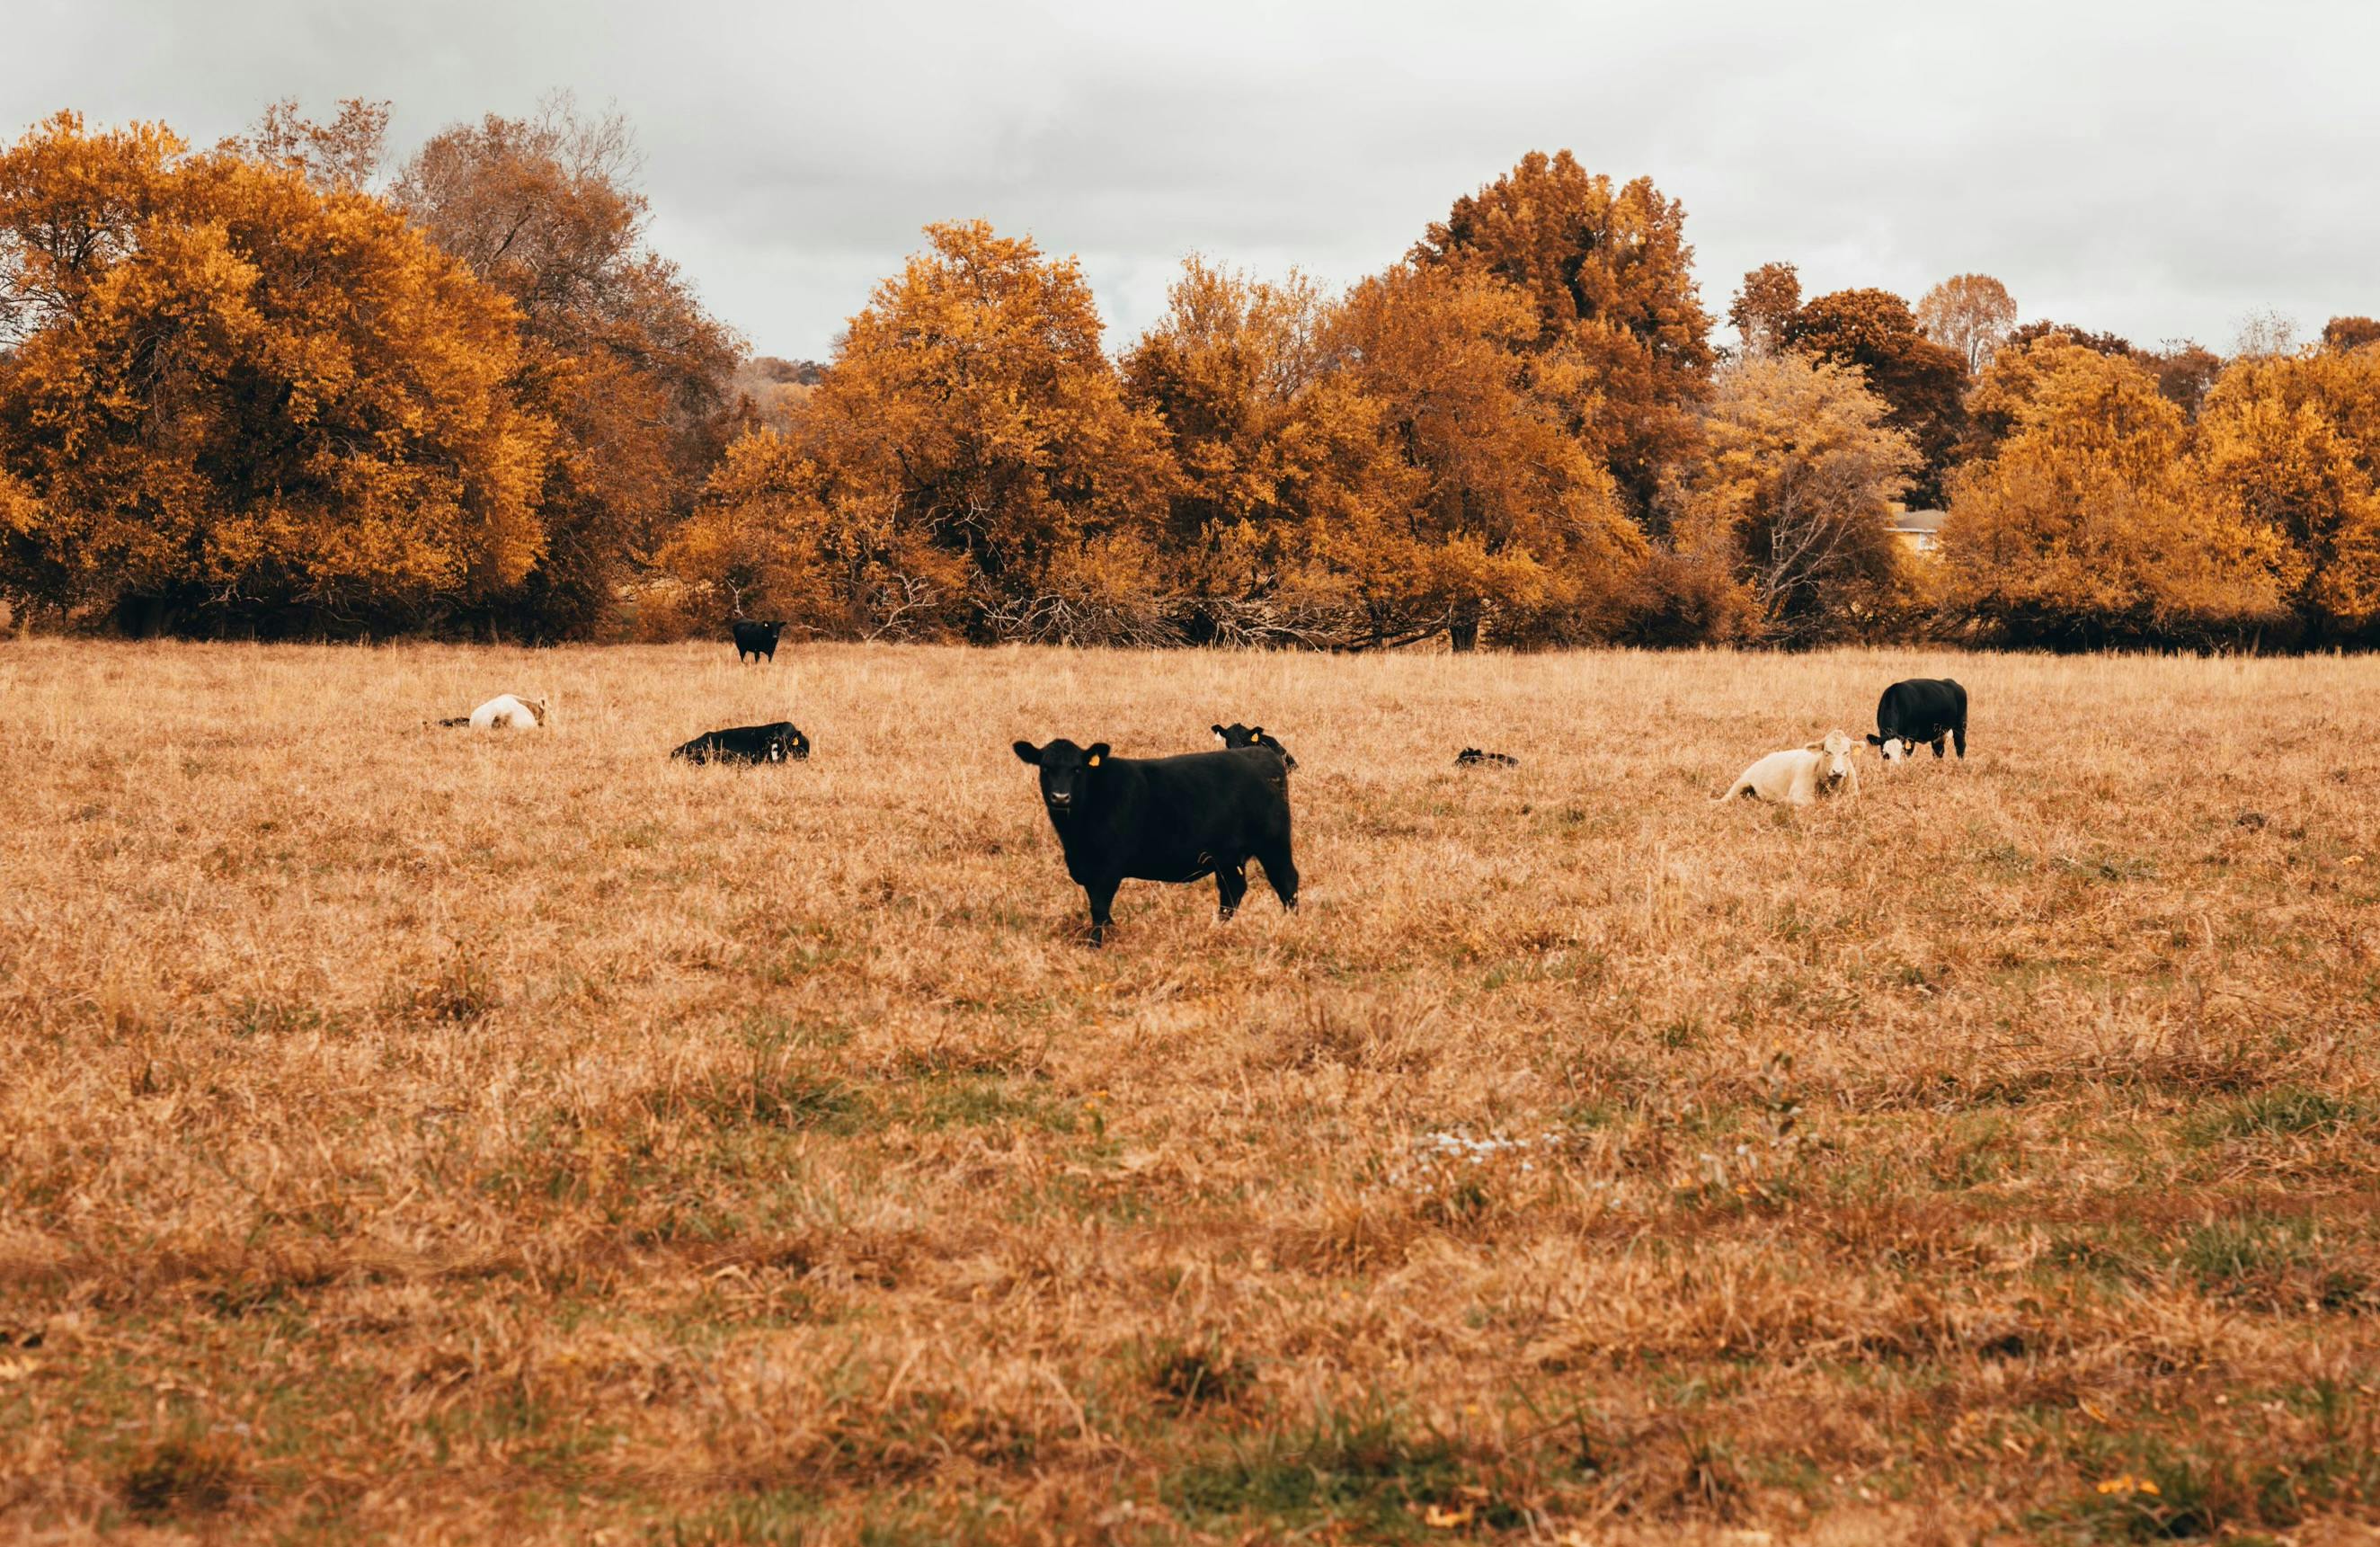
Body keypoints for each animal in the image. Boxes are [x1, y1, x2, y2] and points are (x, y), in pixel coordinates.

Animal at [1013, 738, 1298, 946]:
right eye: (1045, 768)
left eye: (1077, 769)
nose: (1061, 797)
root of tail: (1263, 756)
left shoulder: (1107, 869)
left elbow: (1099, 907)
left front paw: (1096, 944)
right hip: (1227, 857)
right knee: (1232, 891)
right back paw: (1219, 927)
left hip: (1274, 844)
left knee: (1286, 881)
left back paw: (1291, 923)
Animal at [1717, 729, 1861, 806]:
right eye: (1827, 752)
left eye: (1846, 752)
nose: (1838, 771)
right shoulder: (1799, 793)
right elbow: (1809, 802)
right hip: (1742, 781)